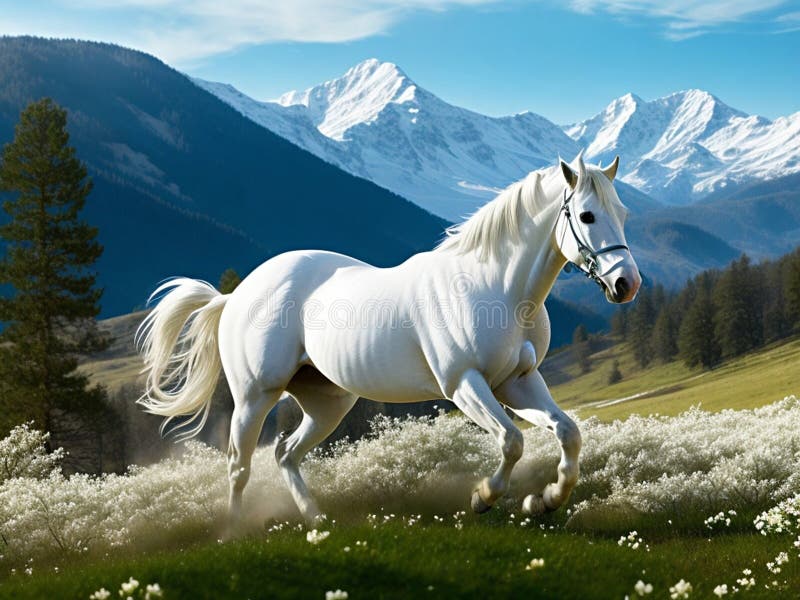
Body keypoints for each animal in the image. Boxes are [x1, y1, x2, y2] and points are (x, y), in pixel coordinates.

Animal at [136, 153, 641, 529]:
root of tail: (235, 295)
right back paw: (235, 531)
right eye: (586, 215)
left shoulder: (516, 382)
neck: (494, 285)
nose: (626, 284)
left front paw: (546, 500)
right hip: (254, 396)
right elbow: (512, 441)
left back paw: (317, 521)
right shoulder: (464, 384)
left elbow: (568, 433)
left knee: (284, 453)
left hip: (327, 402)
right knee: (239, 465)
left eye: (623, 214)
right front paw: (482, 497)